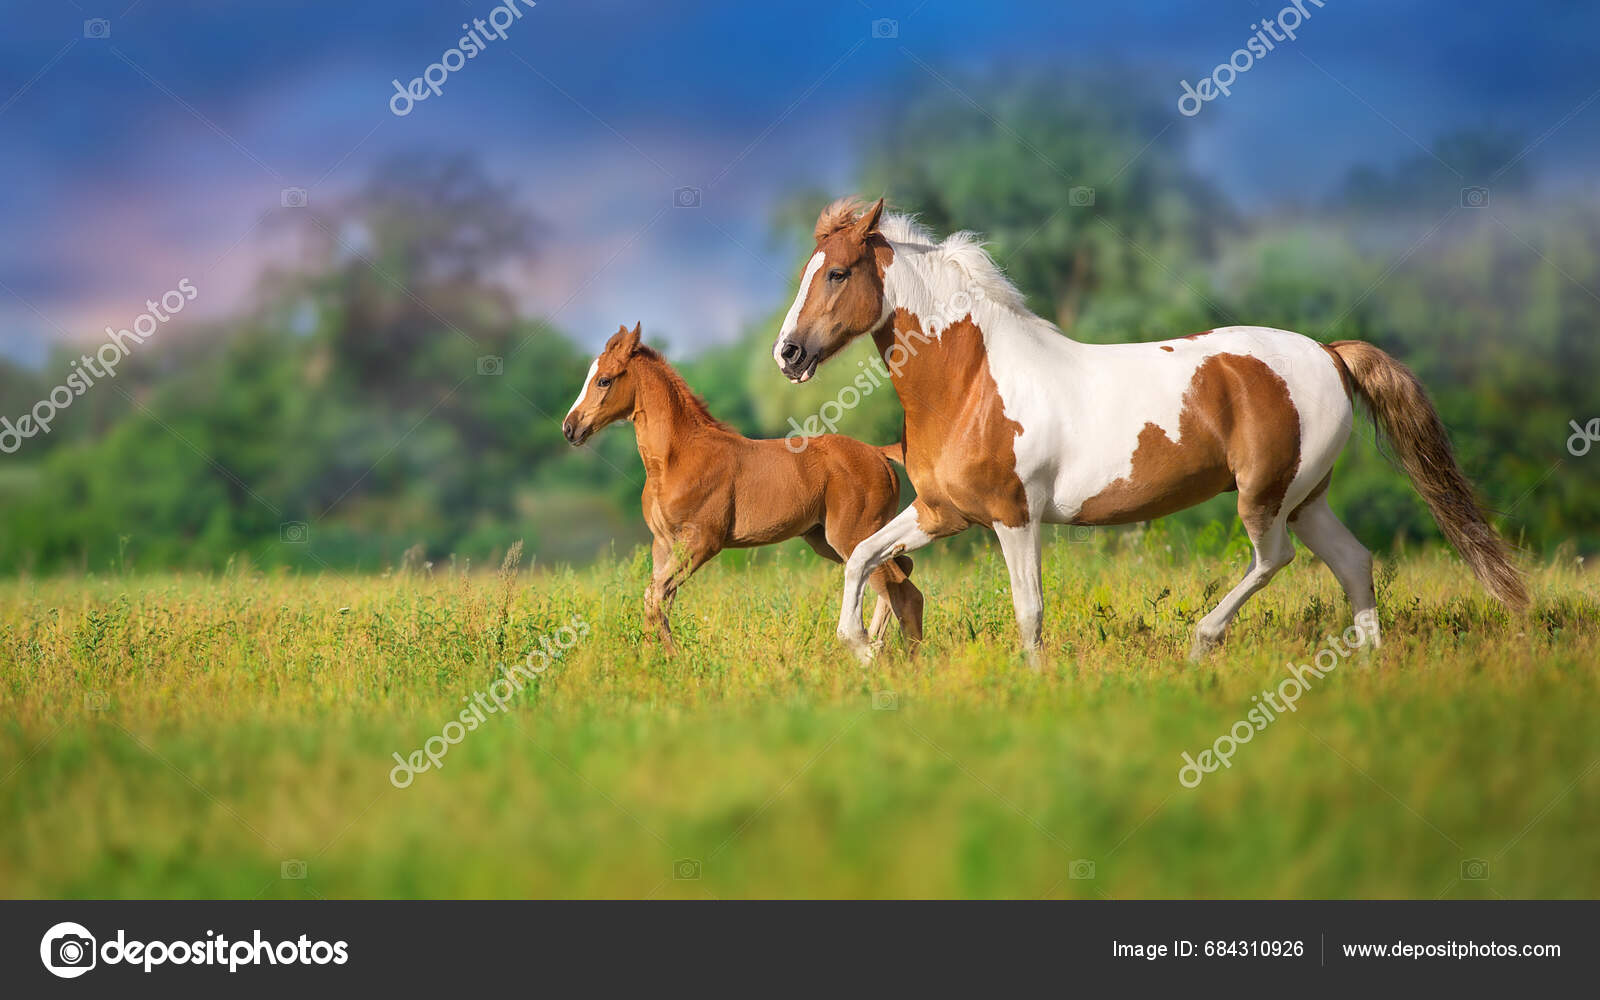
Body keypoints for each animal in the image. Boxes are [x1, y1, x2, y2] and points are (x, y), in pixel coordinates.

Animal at [563, 322, 923, 652]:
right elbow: (658, 598)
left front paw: (673, 658)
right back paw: (878, 645)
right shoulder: (663, 544)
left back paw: (880, 654)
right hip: (825, 539)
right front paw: (656, 659)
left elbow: (655, 596)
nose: (570, 427)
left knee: (901, 587)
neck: (673, 460)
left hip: (851, 535)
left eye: (604, 380)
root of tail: (878, 453)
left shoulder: (703, 541)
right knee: (899, 572)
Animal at [771, 197, 1526, 663]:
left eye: (837, 273)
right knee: (1354, 563)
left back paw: (1202, 641)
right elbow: (863, 559)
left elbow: (1028, 610)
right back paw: (1366, 666)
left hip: (1265, 497)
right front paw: (865, 652)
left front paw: (1034, 684)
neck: (971, 385)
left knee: (1274, 559)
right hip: (1307, 498)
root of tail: (1329, 354)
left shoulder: (1016, 517)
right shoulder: (940, 513)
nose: (788, 354)